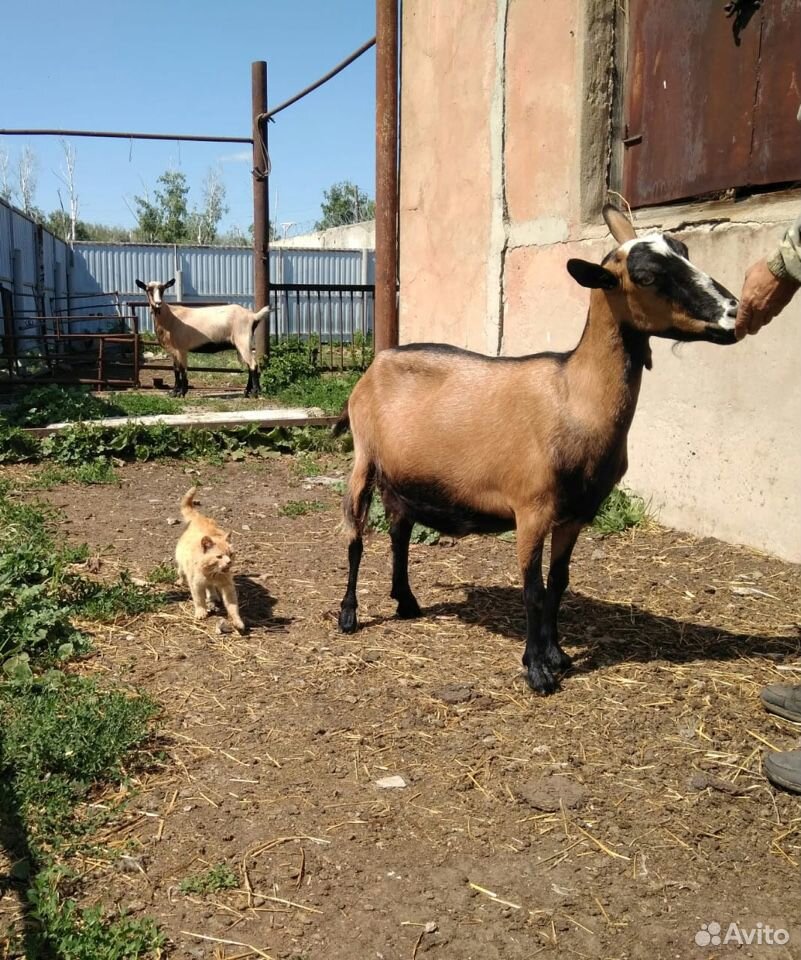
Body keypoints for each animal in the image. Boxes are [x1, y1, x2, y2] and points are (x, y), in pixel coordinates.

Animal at [136, 278, 271, 397]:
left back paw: (255, 393)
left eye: (163, 289)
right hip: (240, 345)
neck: (170, 317)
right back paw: (247, 392)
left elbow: (183, 369)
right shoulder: (173, 350)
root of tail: (253, 316)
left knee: (253, 364)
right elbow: (175, 369)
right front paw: (174, 392)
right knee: (249, 366)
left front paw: (182, 392)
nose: (158, 303)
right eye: (148, 289)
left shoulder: (181, 348)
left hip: (243, 340)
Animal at [334, 205, 739, 694]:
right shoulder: (531, 509)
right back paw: (349, 614)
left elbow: (558, 584)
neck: (574, 395)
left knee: (399, 531)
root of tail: (375, 365)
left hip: (404, 476)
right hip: (364, 457)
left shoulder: (575, 513)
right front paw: (537, 669)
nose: (733, 313)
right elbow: (532, 590)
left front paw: (558, 654)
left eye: (684, 251)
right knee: (355, 535)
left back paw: (407, 600)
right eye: (646, 275)